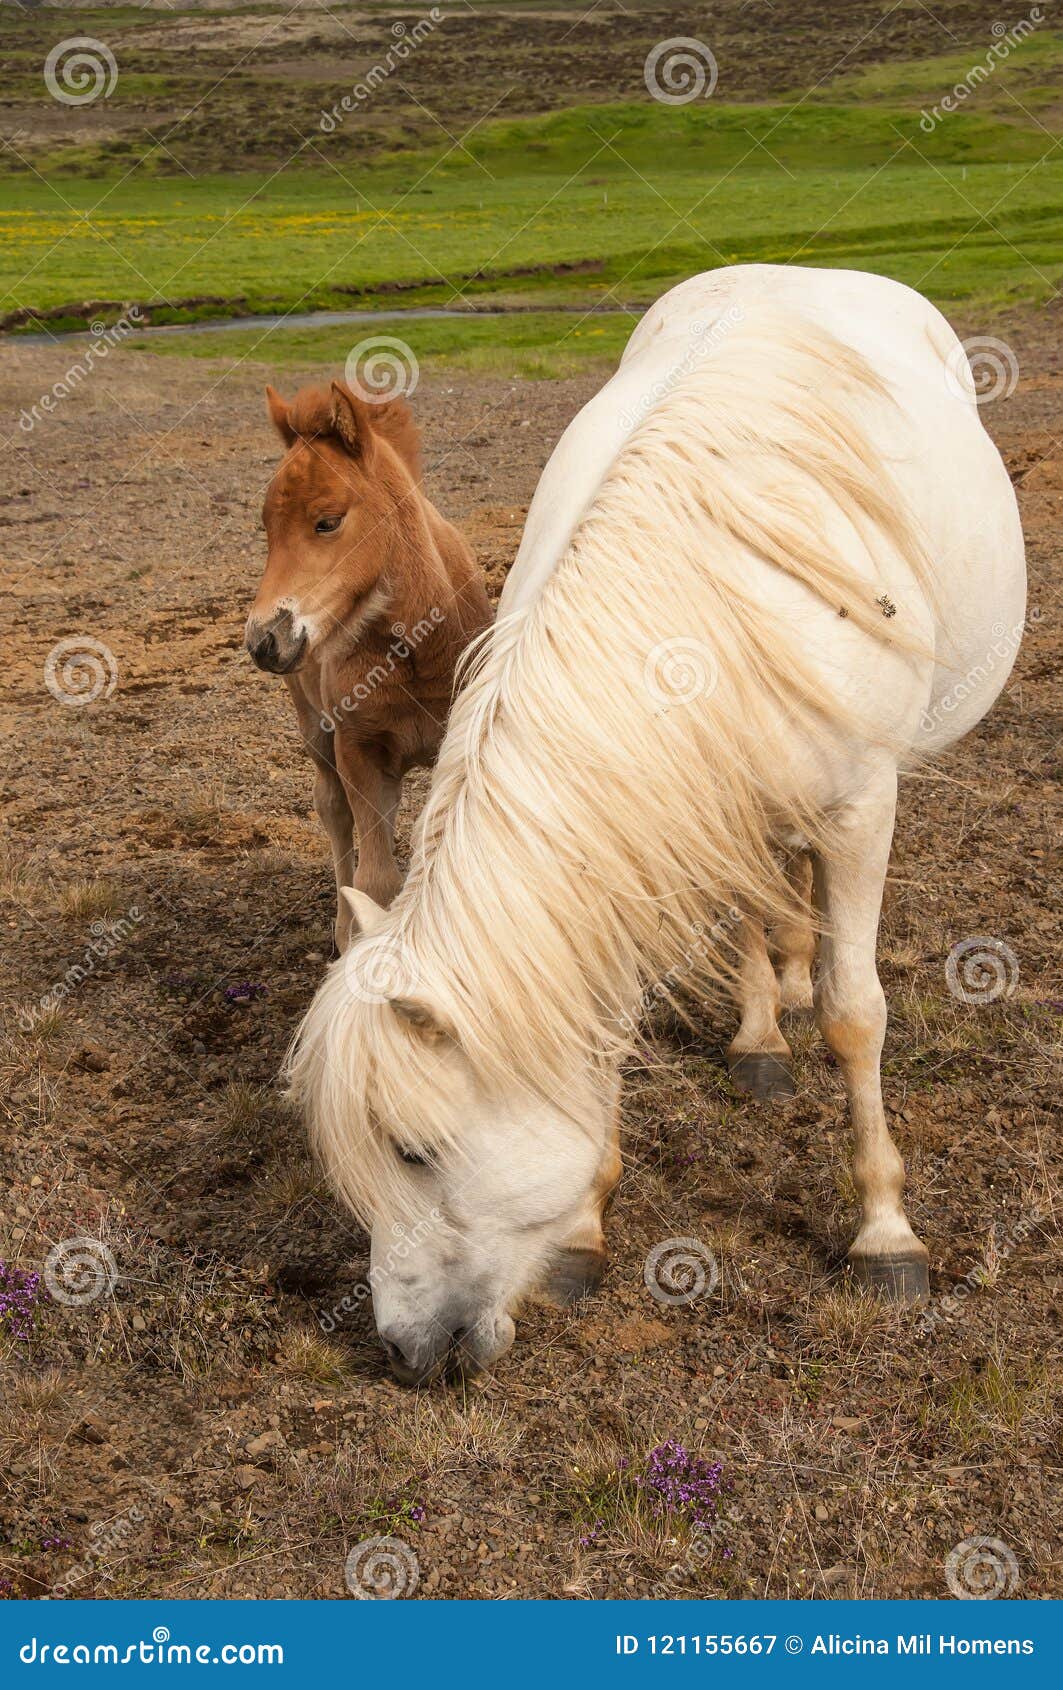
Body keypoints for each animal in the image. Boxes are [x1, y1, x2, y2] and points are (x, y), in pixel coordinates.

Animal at [244, 378, 491, 946]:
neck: (415, 651)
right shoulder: (357, 748)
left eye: (327, 522)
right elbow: (375, 878)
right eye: (266, 527)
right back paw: (341, 929)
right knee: (334, 812)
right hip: (316, 730)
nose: (265, 640)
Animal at [288, 265, 1025, 1386]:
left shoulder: (860, 809)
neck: (701, 601)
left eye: (414, 1152)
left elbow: (856, 1013)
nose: (405, 1351)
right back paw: (764, 1027)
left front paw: (884, 1232)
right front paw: (585, 1228)